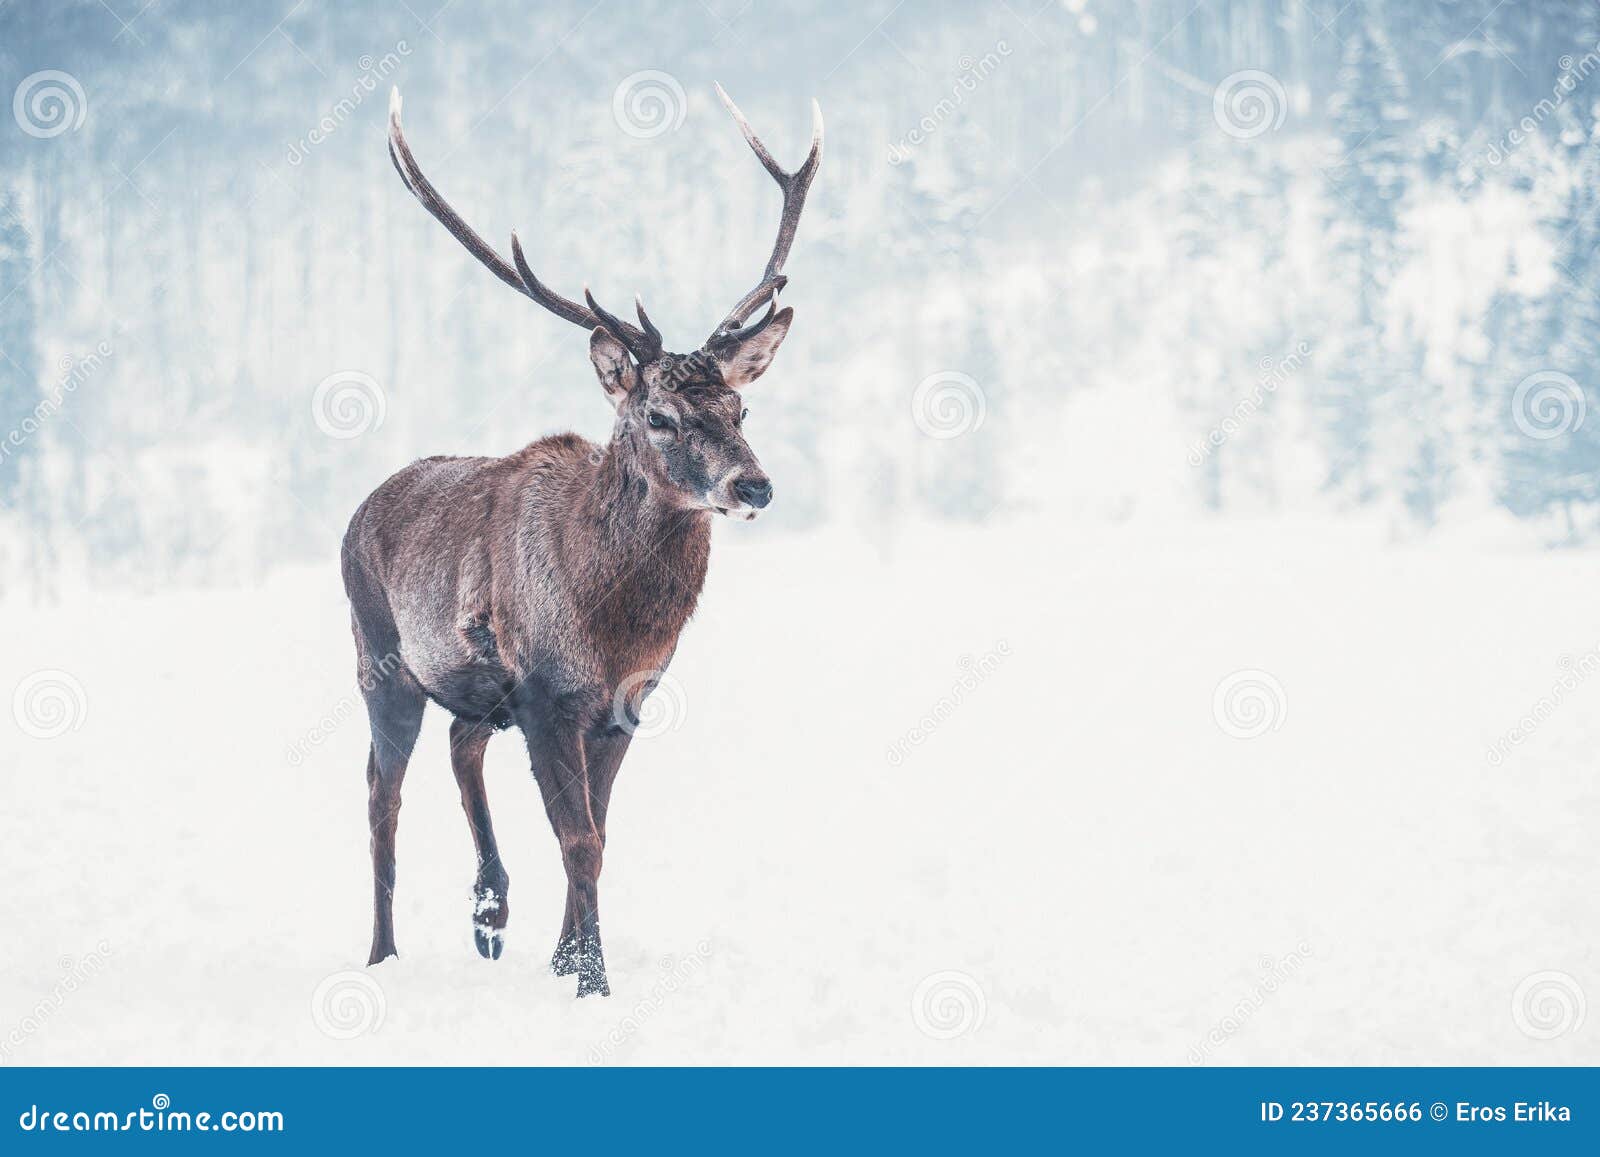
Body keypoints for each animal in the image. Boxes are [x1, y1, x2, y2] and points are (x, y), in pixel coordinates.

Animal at [339, 86, 821, 997]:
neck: (616, 624)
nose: (754, 486)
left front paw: (565, 957)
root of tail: (356, 512)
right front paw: (591, 977)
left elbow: (599, 832)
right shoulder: (546, 696)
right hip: (381, 661)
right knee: (380, 799)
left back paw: (490, 909)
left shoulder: (626, 703)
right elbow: (581, 838)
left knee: (460, 746)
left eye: (740, 406)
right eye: (659, 415)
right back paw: (380, 953)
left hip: (474, 687)